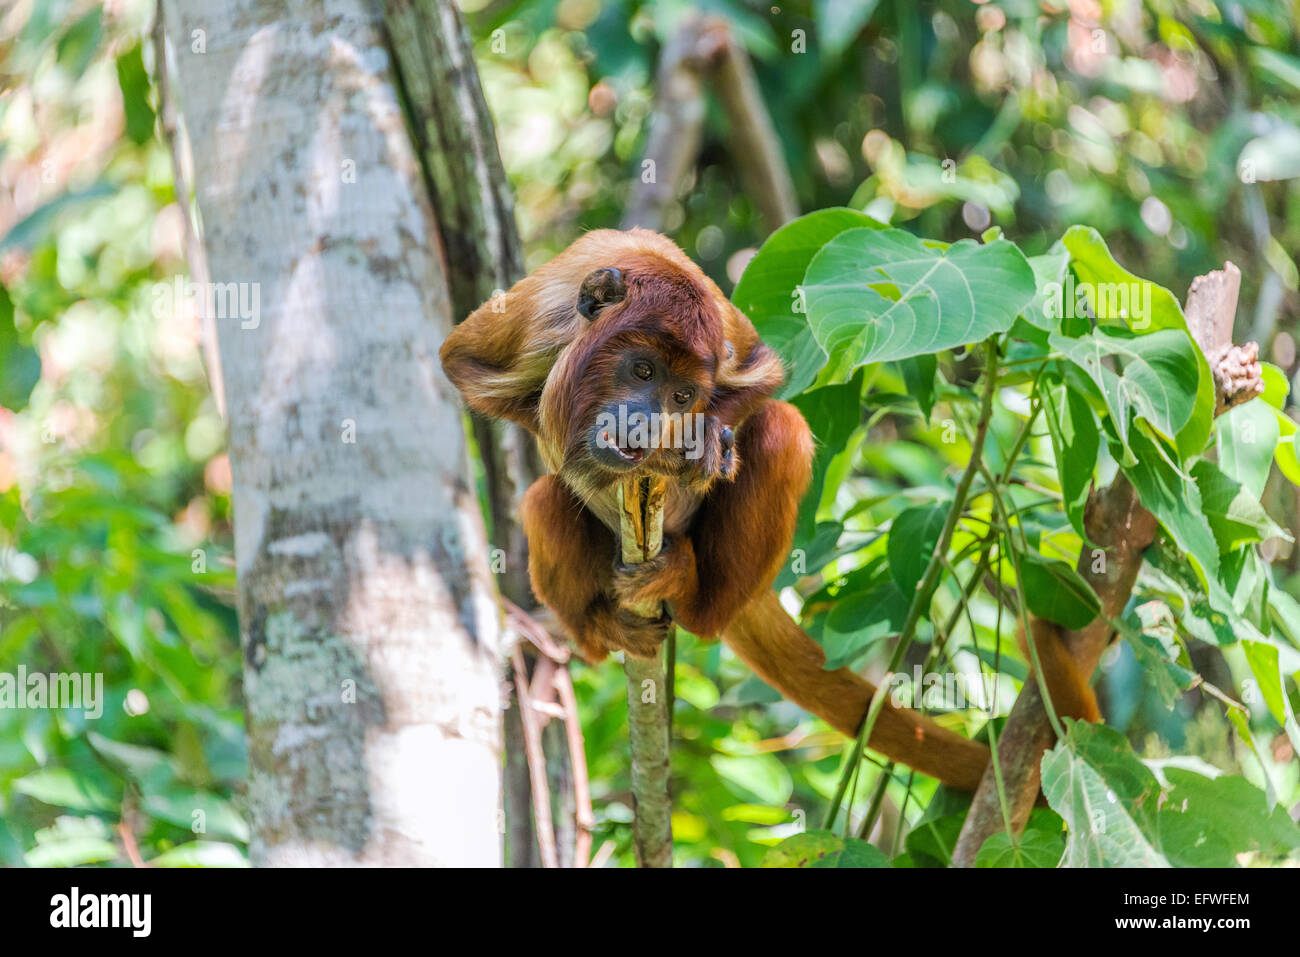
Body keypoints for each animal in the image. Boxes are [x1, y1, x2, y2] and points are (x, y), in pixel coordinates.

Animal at [441, 228, 1011, 790]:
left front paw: (700, 445)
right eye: (641, 369)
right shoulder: (537, 316)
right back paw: (601, 626)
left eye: (681, 396)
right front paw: (578, 452)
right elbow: (462, 362)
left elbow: (765, 376)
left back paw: (688, 583)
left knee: (782, 430)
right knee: (543, 501)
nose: (648, 423)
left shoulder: (724, 328)